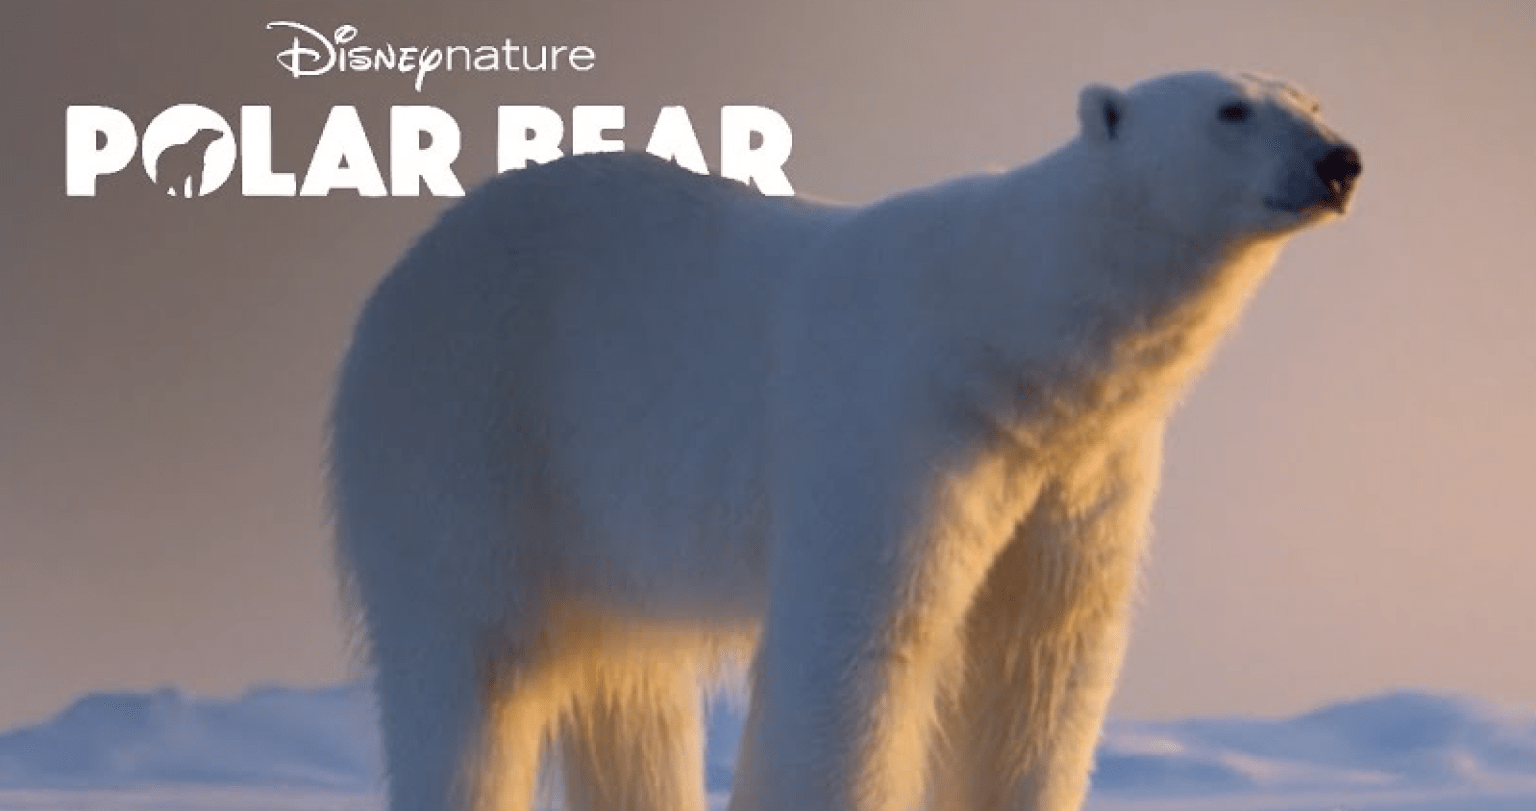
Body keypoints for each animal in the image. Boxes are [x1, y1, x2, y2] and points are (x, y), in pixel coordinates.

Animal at [327, 69, 1360, 811]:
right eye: (1233, 107)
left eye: (1308, 98)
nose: (1340, 159)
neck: (1012, 335)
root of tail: (402, 273)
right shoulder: (899, 425)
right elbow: (861, 647)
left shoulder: (1079, 468)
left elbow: (1043, 658)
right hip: (473, 433)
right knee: (473, 668)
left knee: (634, 688)